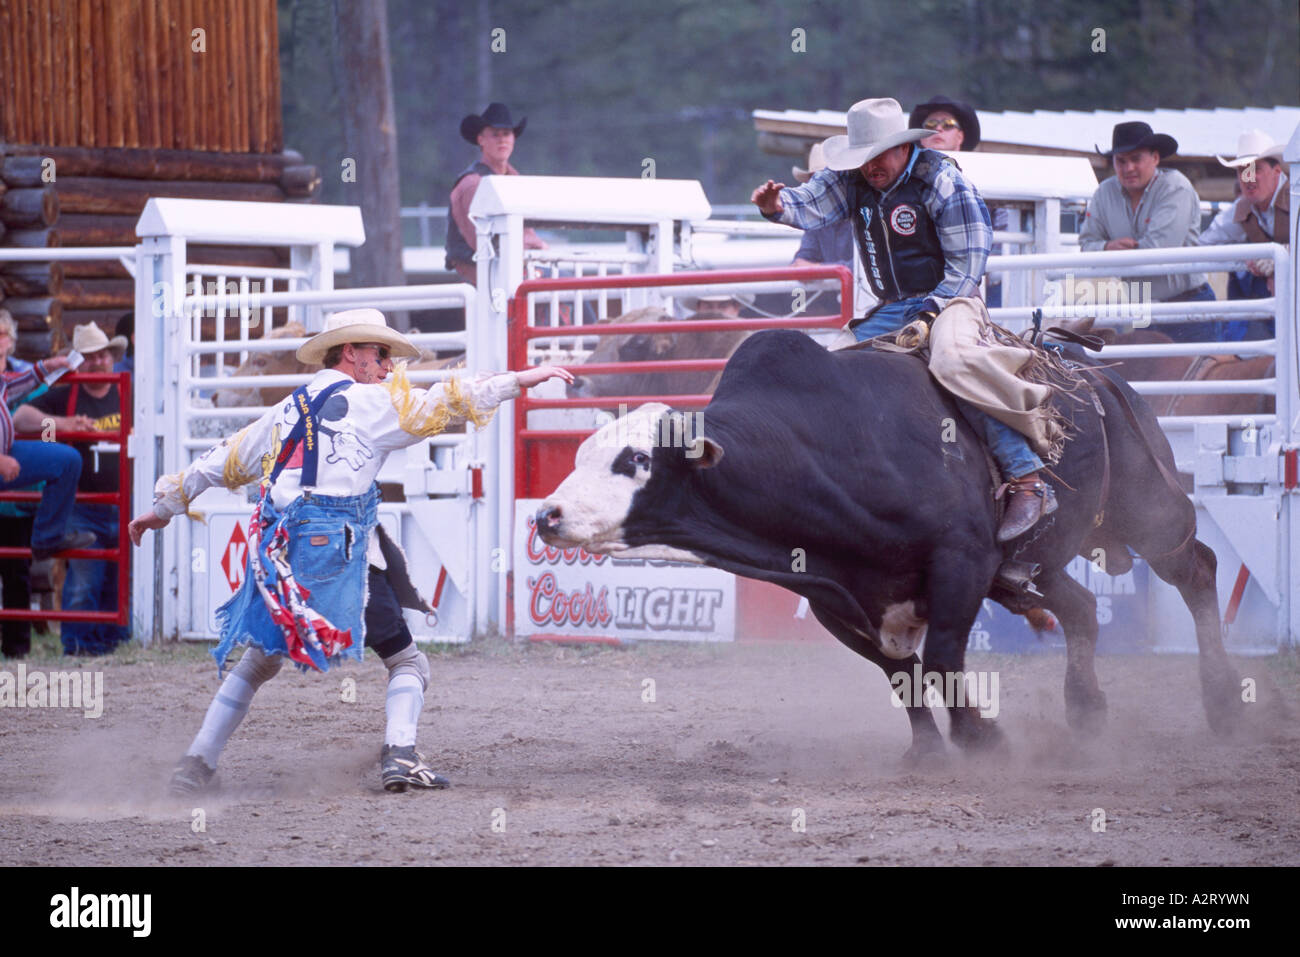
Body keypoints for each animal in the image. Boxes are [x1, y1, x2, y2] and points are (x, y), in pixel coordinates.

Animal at [535, 329, 1242, 762]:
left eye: (634, 460)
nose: (547, 515)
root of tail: (1098, 375)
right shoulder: (834, 597)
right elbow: (901, 674)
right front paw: (929, 750)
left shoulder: (962, 563)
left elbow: (944, 659)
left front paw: (981, 738)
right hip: (1032, 566)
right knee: (1081, 610)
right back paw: (1087, 710)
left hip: (1148, 512)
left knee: (1197, 570)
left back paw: (1223, 701)